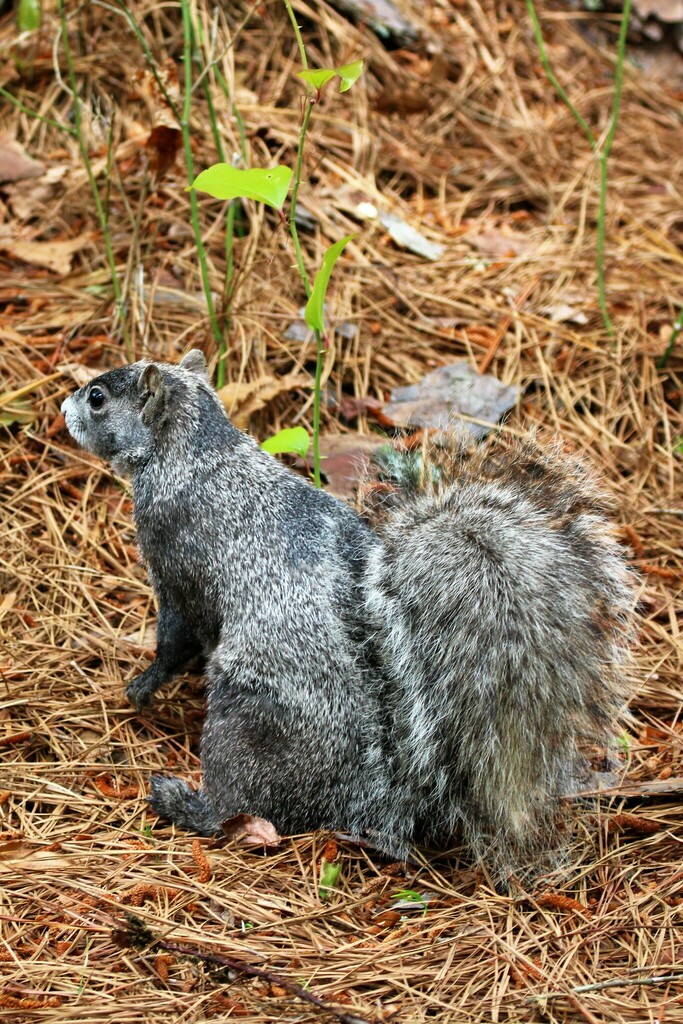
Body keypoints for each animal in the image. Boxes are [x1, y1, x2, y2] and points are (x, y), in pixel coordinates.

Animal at [61, 350, 636, 876]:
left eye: (98, 397)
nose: (65, 405)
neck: (197, 450)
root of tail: (383, 793)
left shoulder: (173, 554)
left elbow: (177, 638)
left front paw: (141, 687)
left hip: (248, 723)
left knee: (234, 806)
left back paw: (181, 801)